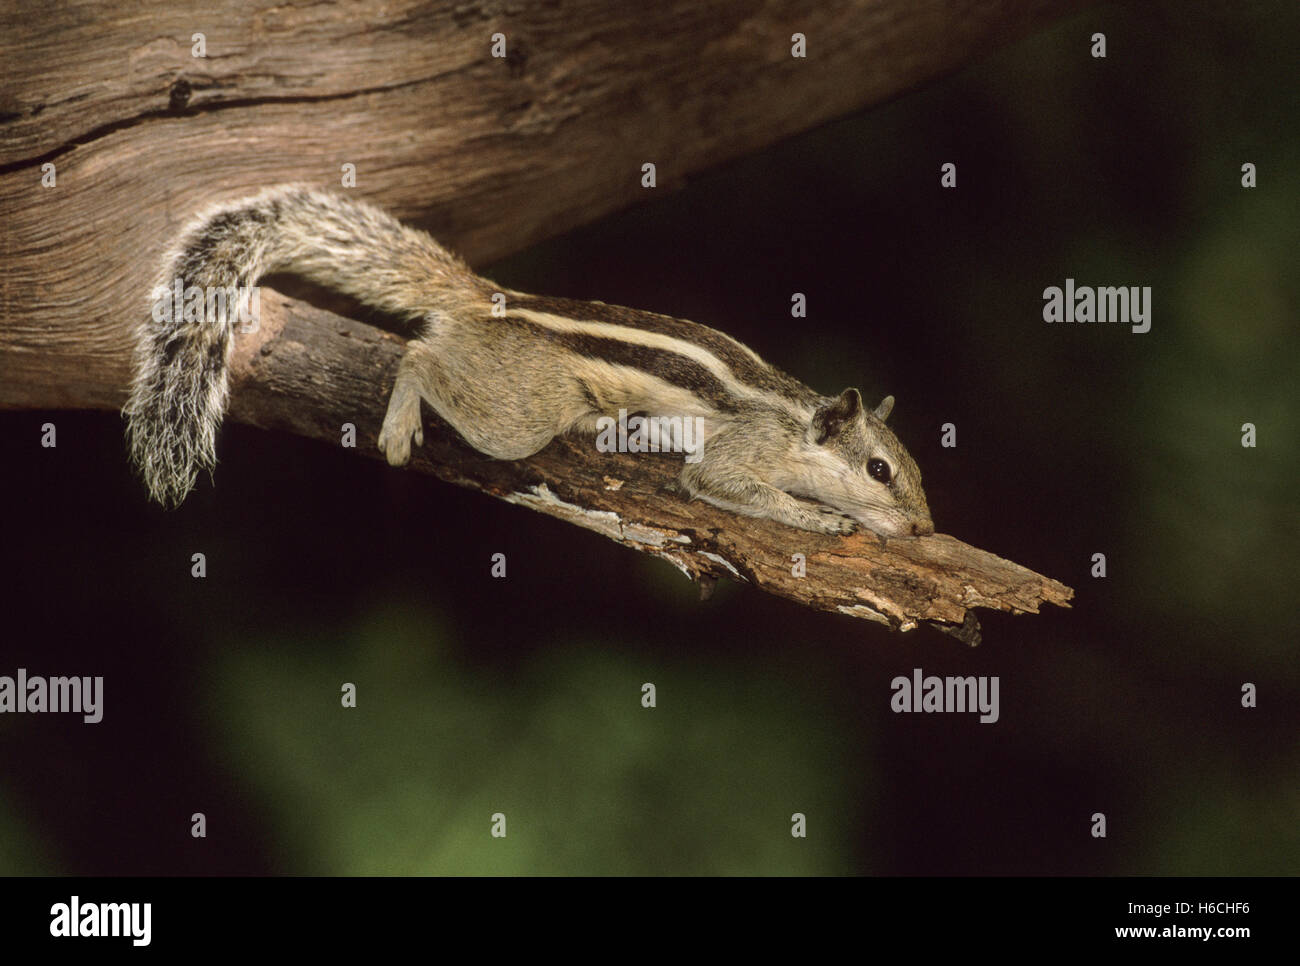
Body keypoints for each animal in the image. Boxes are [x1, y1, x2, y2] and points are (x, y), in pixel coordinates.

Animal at [124, 185, 934, 538]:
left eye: (915, 470)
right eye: (878, 470)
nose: (925, 530)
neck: (794, 419)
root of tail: (493, 298)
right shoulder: (740, 452)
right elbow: (718, 483)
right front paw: (816, 517)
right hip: (522, 414)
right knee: (420, 355)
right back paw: (402, 422)